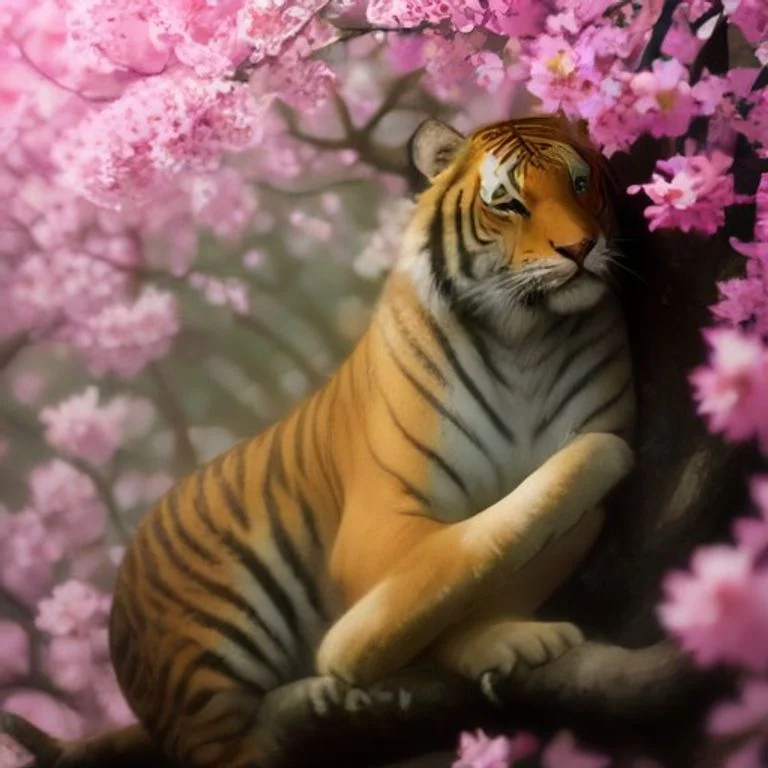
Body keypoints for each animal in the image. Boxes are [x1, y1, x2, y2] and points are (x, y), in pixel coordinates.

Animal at [1, 113, 636, 768]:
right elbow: (470, 550)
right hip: (206, 684)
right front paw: (358, 652)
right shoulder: (380, 527)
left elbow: (517, 545)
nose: (581, 248)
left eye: (581, 182)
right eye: (508, 202)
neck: (526, 338)